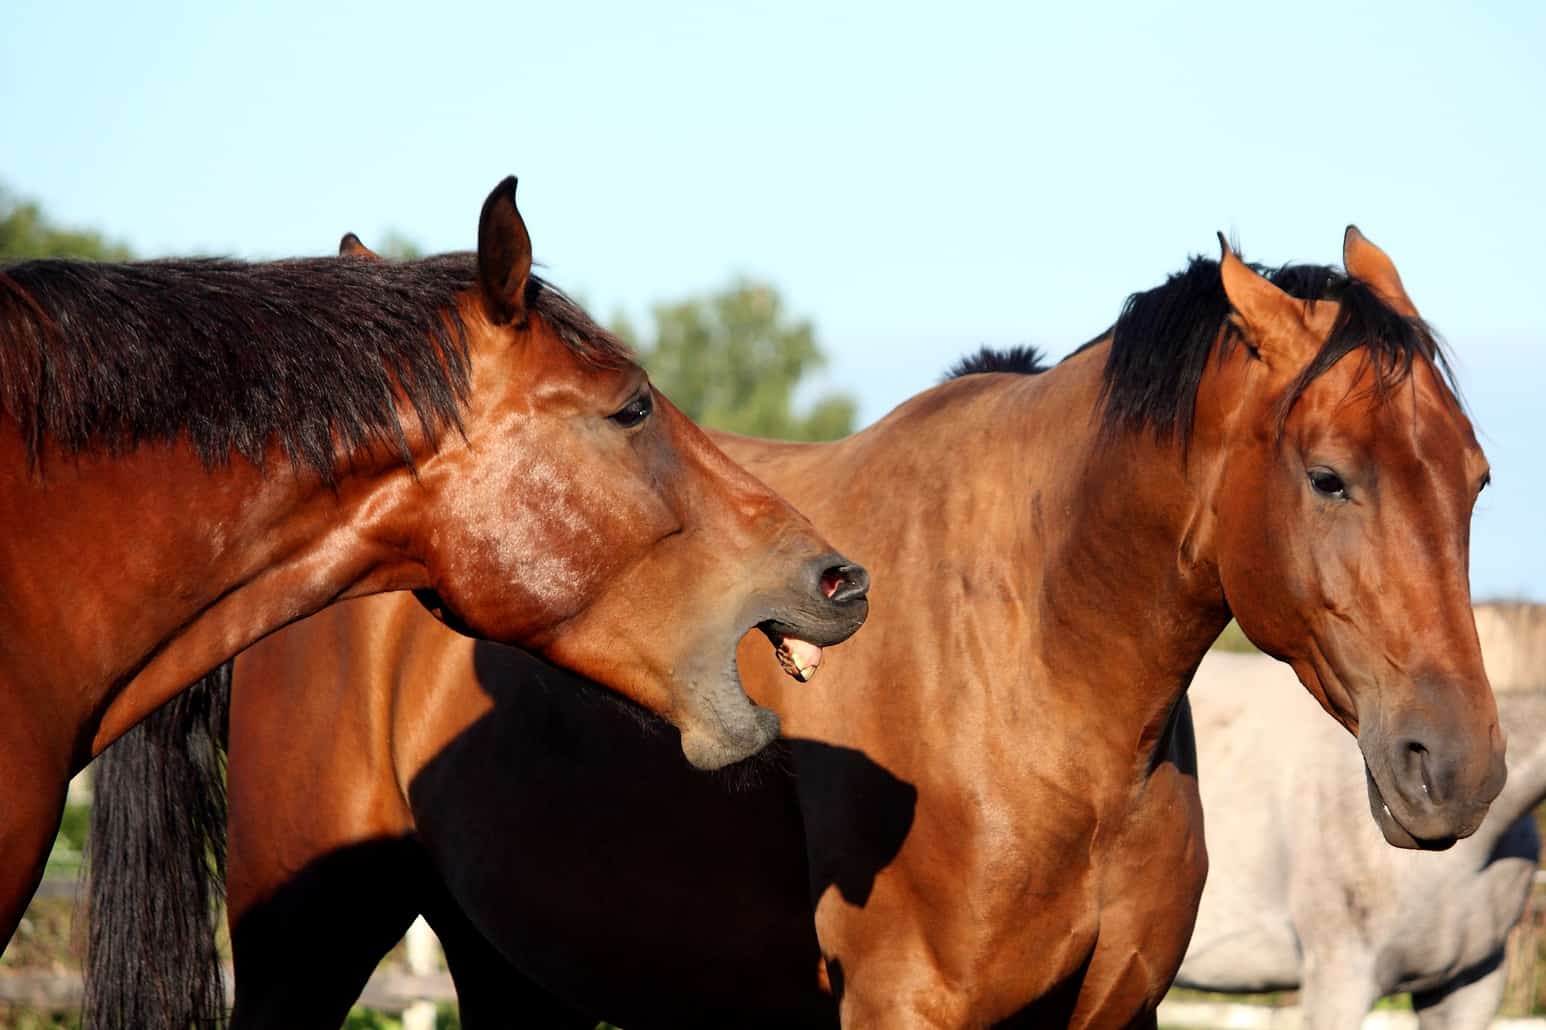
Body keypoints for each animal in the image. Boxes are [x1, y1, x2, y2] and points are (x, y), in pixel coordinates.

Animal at [95, 227, 1502, 1028]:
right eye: (1328, 477)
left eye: (1478, 477)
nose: (1455, 767)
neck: (1037, 671)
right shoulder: (905, 1010)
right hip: (306, 936)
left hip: (505, 957)